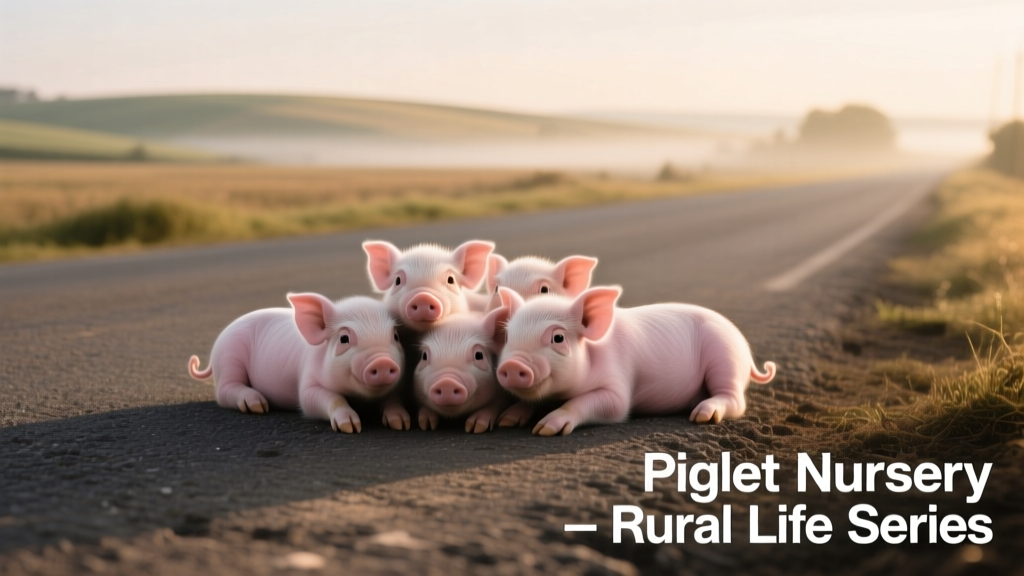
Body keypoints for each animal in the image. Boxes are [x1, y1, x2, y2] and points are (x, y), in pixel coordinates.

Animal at [188, 293, 403, 433]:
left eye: (395, 336)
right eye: (344, 339)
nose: (382, 361)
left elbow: (393, 400)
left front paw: (401, 424)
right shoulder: (308, 382)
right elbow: (325, 399)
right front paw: (350, 427)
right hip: (229, 357)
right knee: (224, 391)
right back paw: (257, 405)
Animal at [494, 286, 776, 436]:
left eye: (558, 338)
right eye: (508, 335)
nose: (513, 365)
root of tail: (742, 344)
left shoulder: (617, 384)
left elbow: (602, 404)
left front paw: (545, 429)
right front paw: (506, 421)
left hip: (725, 357)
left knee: (735, 400)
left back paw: (702, 415)